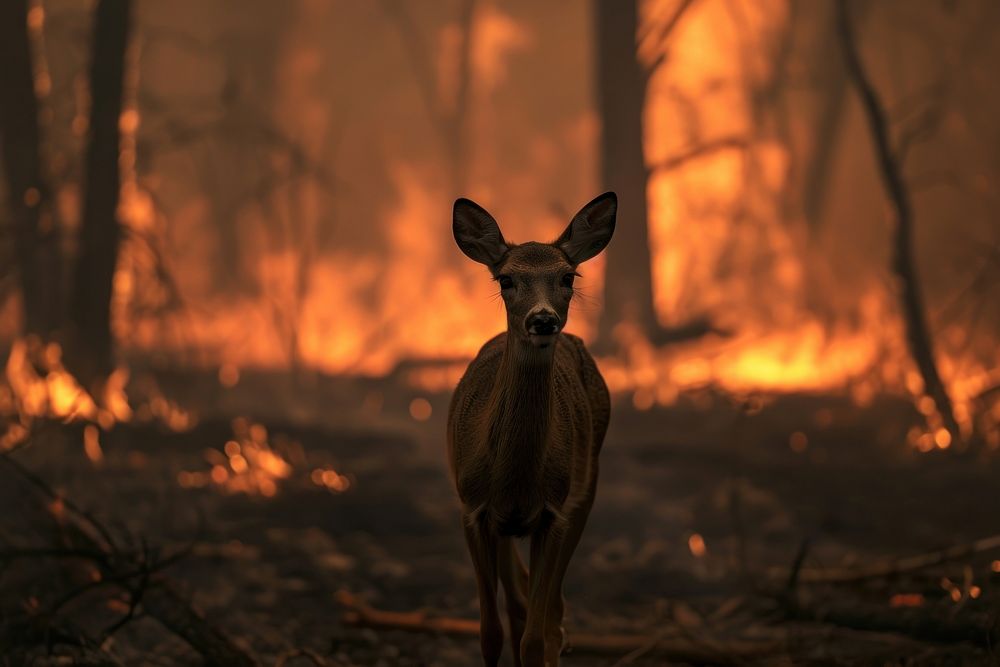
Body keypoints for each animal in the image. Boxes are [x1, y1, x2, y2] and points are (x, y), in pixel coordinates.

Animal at [447, 192, 616, 667]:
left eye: (567, 276)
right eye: (506, 278)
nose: (543, 319)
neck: (515, 479)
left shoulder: (552, 515)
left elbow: (535, 638)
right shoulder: (472, 508)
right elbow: (490, 633)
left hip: (586, 487)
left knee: (553, 614)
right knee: (518, 602)